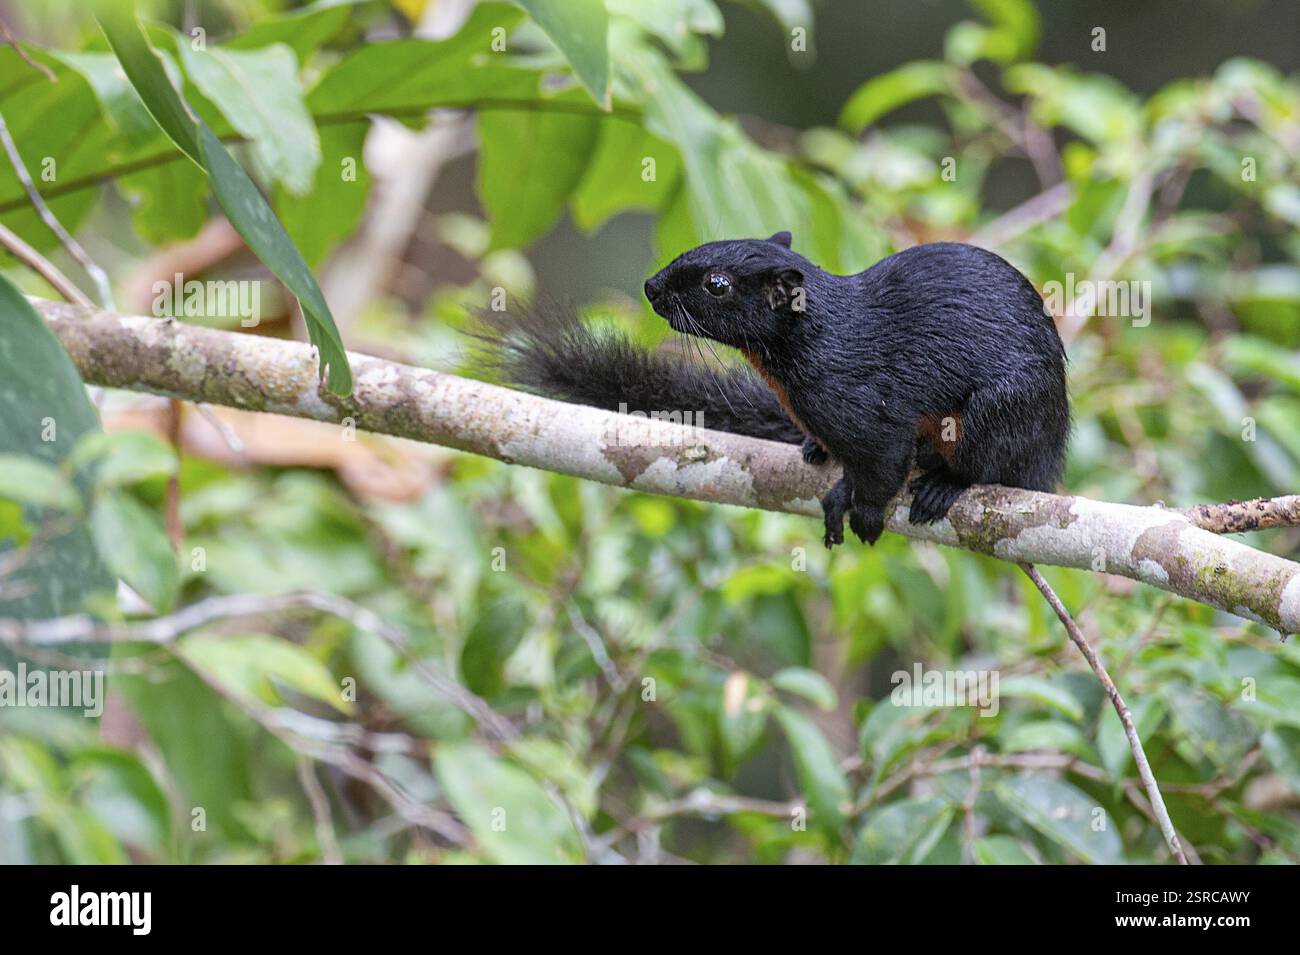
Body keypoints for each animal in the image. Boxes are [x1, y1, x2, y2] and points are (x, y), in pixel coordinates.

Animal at [485, 231, 1070, 549]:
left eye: (717, 284)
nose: (651, 287)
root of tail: (1053, 451)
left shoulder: (869, 410)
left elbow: (882, 470)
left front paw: (866, 514)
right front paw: (838, 486)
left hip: (1003, 408)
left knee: (991, 465)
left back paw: (944, 484)